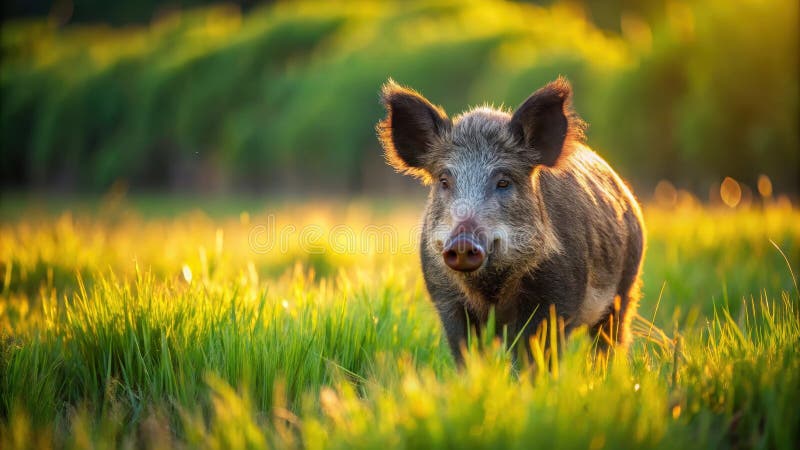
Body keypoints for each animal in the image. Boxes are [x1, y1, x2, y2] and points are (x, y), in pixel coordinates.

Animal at [376, 77, 645, 364]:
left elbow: (534, 356)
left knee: (610, 340)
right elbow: (466, 353)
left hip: (626, 288)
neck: (491, 291)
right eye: (444, 180)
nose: (462, 243)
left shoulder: (556, 298)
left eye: (503, 182)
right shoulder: (446, 298)